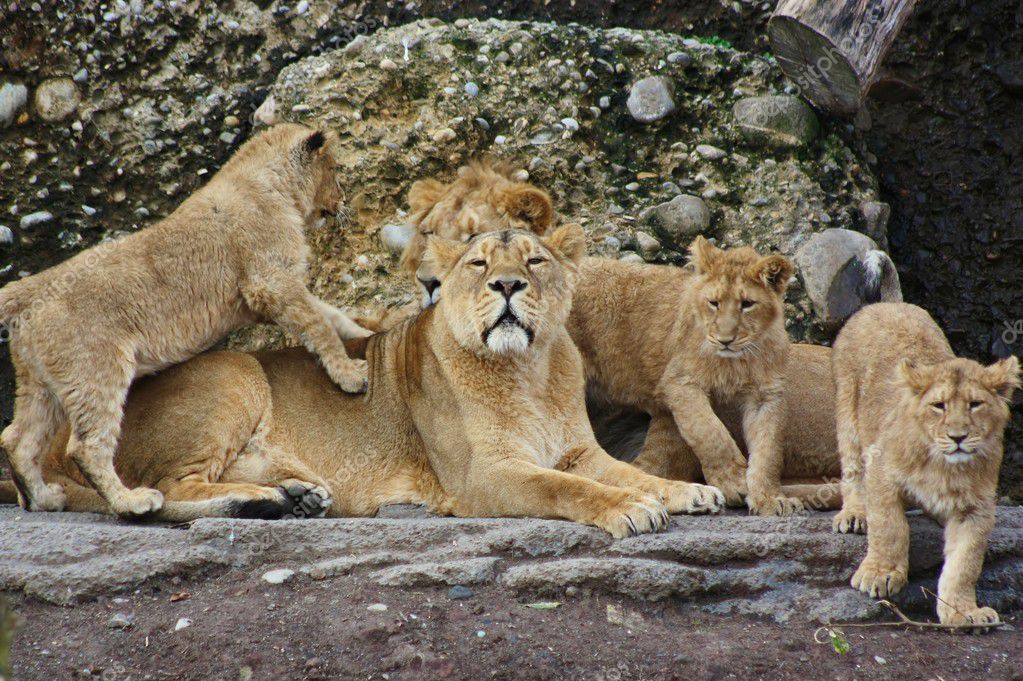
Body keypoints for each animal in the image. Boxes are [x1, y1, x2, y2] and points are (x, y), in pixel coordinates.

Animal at [0, 123, 371, 517]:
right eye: (334, 169)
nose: (343, 200)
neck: (270, 183)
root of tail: (25, 288)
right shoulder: (271, 283)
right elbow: (320, 326)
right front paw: (351, 375)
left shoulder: (273, 290)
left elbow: (333, 317)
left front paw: (367, 332)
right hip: (96, 372)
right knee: (87, 447)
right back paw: (132, 502)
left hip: (44, 385)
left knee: (16, 440)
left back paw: (44, 498)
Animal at [0, 226, 724, 537]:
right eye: (479, 263)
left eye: (535, 261)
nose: (508, 285)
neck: (529, 371)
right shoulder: (483, 476)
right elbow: (568, 488)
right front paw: (628, 509)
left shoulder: (577, 448)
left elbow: (626, 471)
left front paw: (687, 492)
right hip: (233, 370)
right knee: (166, 490)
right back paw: (255, 503)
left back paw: (291, 498)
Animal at [831, 302, 1019, 627]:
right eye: (939, 406)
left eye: (975, 404)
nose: (958, 437)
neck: (943, 466)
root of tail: (886, 304)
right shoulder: (882, 472)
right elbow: (889, 526)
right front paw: (880, 574)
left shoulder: (976, 508)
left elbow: (965, 563)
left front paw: (964, 612)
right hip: (848, 413)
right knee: (852, 470)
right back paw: (855, 514)